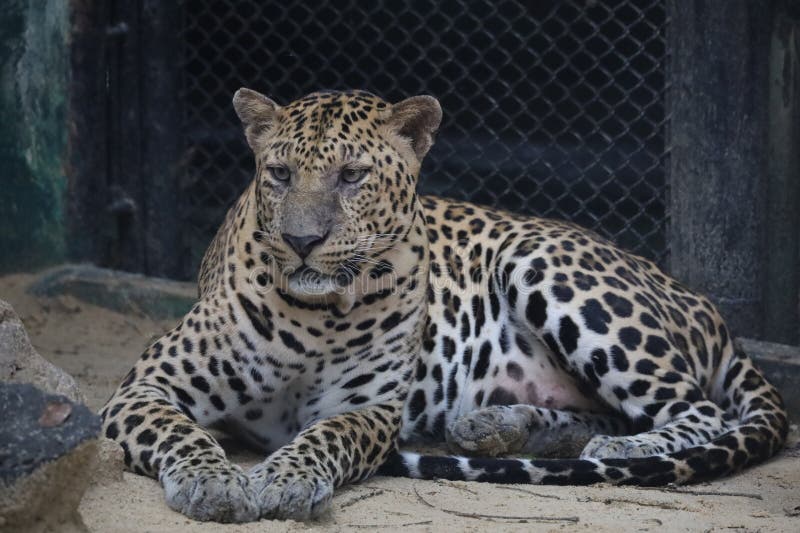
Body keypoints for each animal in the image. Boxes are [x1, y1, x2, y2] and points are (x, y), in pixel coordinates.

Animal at [100, 88, 788, 523]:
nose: (301, 241)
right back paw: (500, 426)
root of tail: (705, 305)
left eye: (352, 176)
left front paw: (288, 478)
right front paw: (212, 481)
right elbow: (181, 432)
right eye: (279, 174)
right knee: (607, 414)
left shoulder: (368, 410)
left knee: (697, 411)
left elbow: (326, 435)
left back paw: (615, 451)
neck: (316, 318)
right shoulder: (144, 387)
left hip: (543, 263)